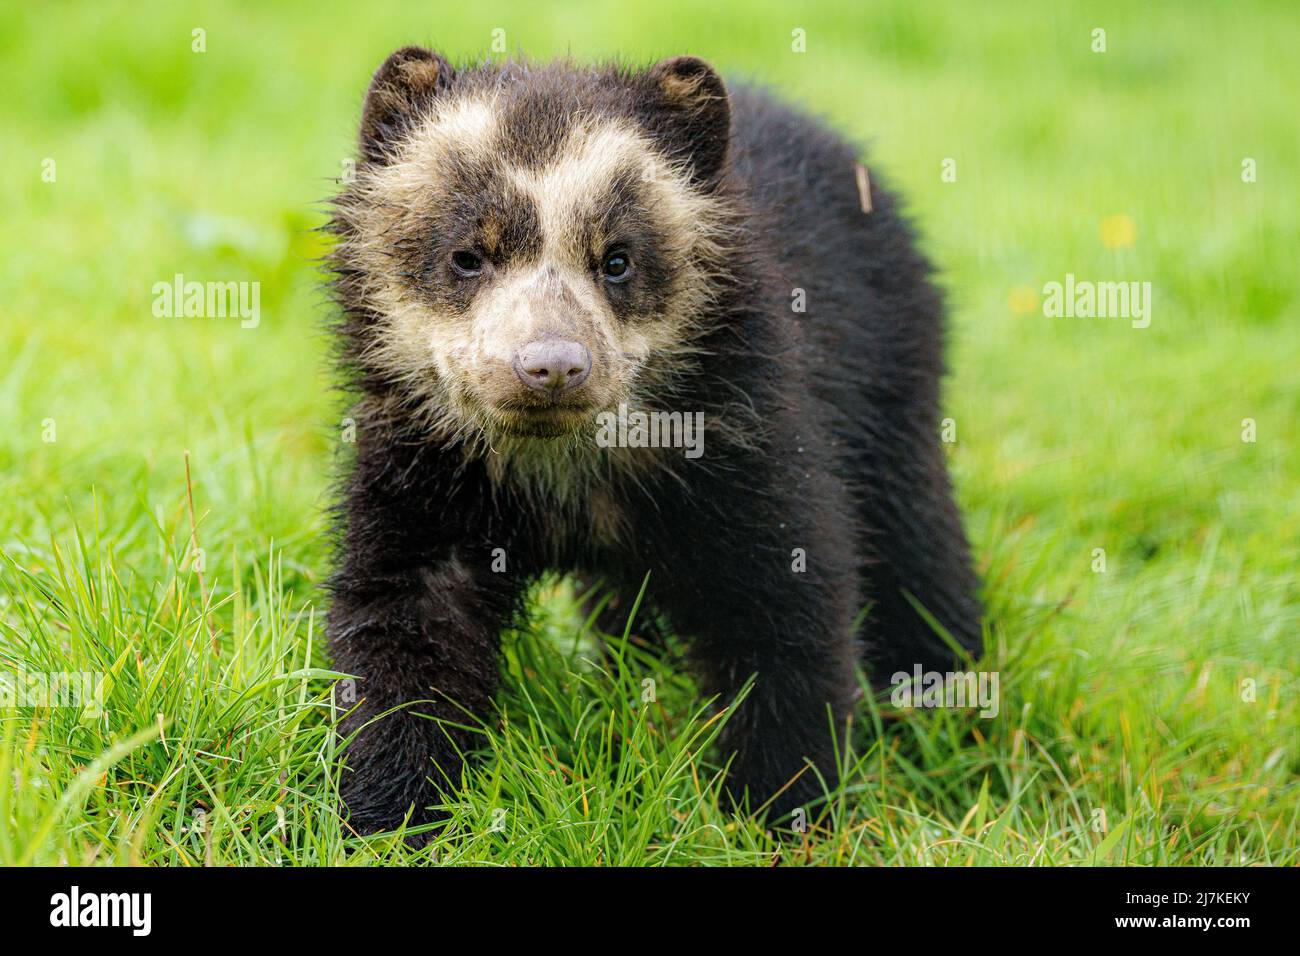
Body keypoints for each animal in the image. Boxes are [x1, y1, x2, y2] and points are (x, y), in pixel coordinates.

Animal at [326, 47, 982, 837]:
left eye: (617, 260)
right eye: (467, 255)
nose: (552, 367)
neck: (567, 459)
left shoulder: (737, 434)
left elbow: (782, 601)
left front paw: (777, 810)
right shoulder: (426, 461)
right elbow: (407, 611)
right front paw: (389, 812)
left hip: (893, 372)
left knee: (915, 541)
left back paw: (943, 699)